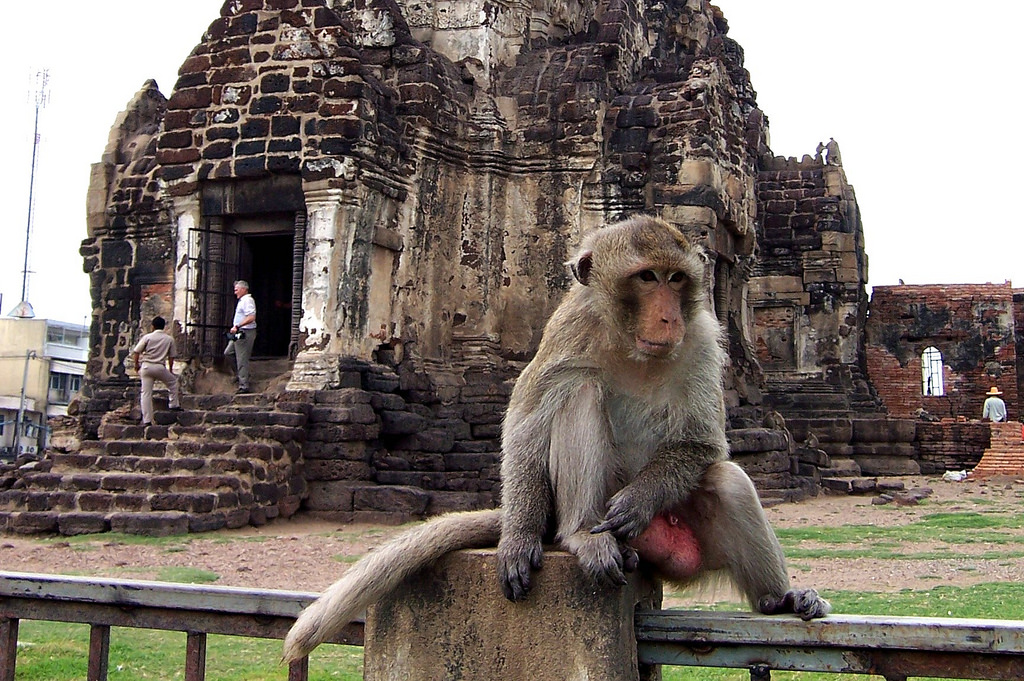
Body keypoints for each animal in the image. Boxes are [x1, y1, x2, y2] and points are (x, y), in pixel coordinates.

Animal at [283, 215, 829, 662]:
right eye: (647, 278)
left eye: (677, 280)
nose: (669, 316)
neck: (629, 343)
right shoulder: (567, 327)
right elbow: (526, 422)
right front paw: (519, 538)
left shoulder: (702, 339)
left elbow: (704, 444)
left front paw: (637, 499)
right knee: (579, 394)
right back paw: (582, 536)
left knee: (727, 481)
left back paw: (777, 599)